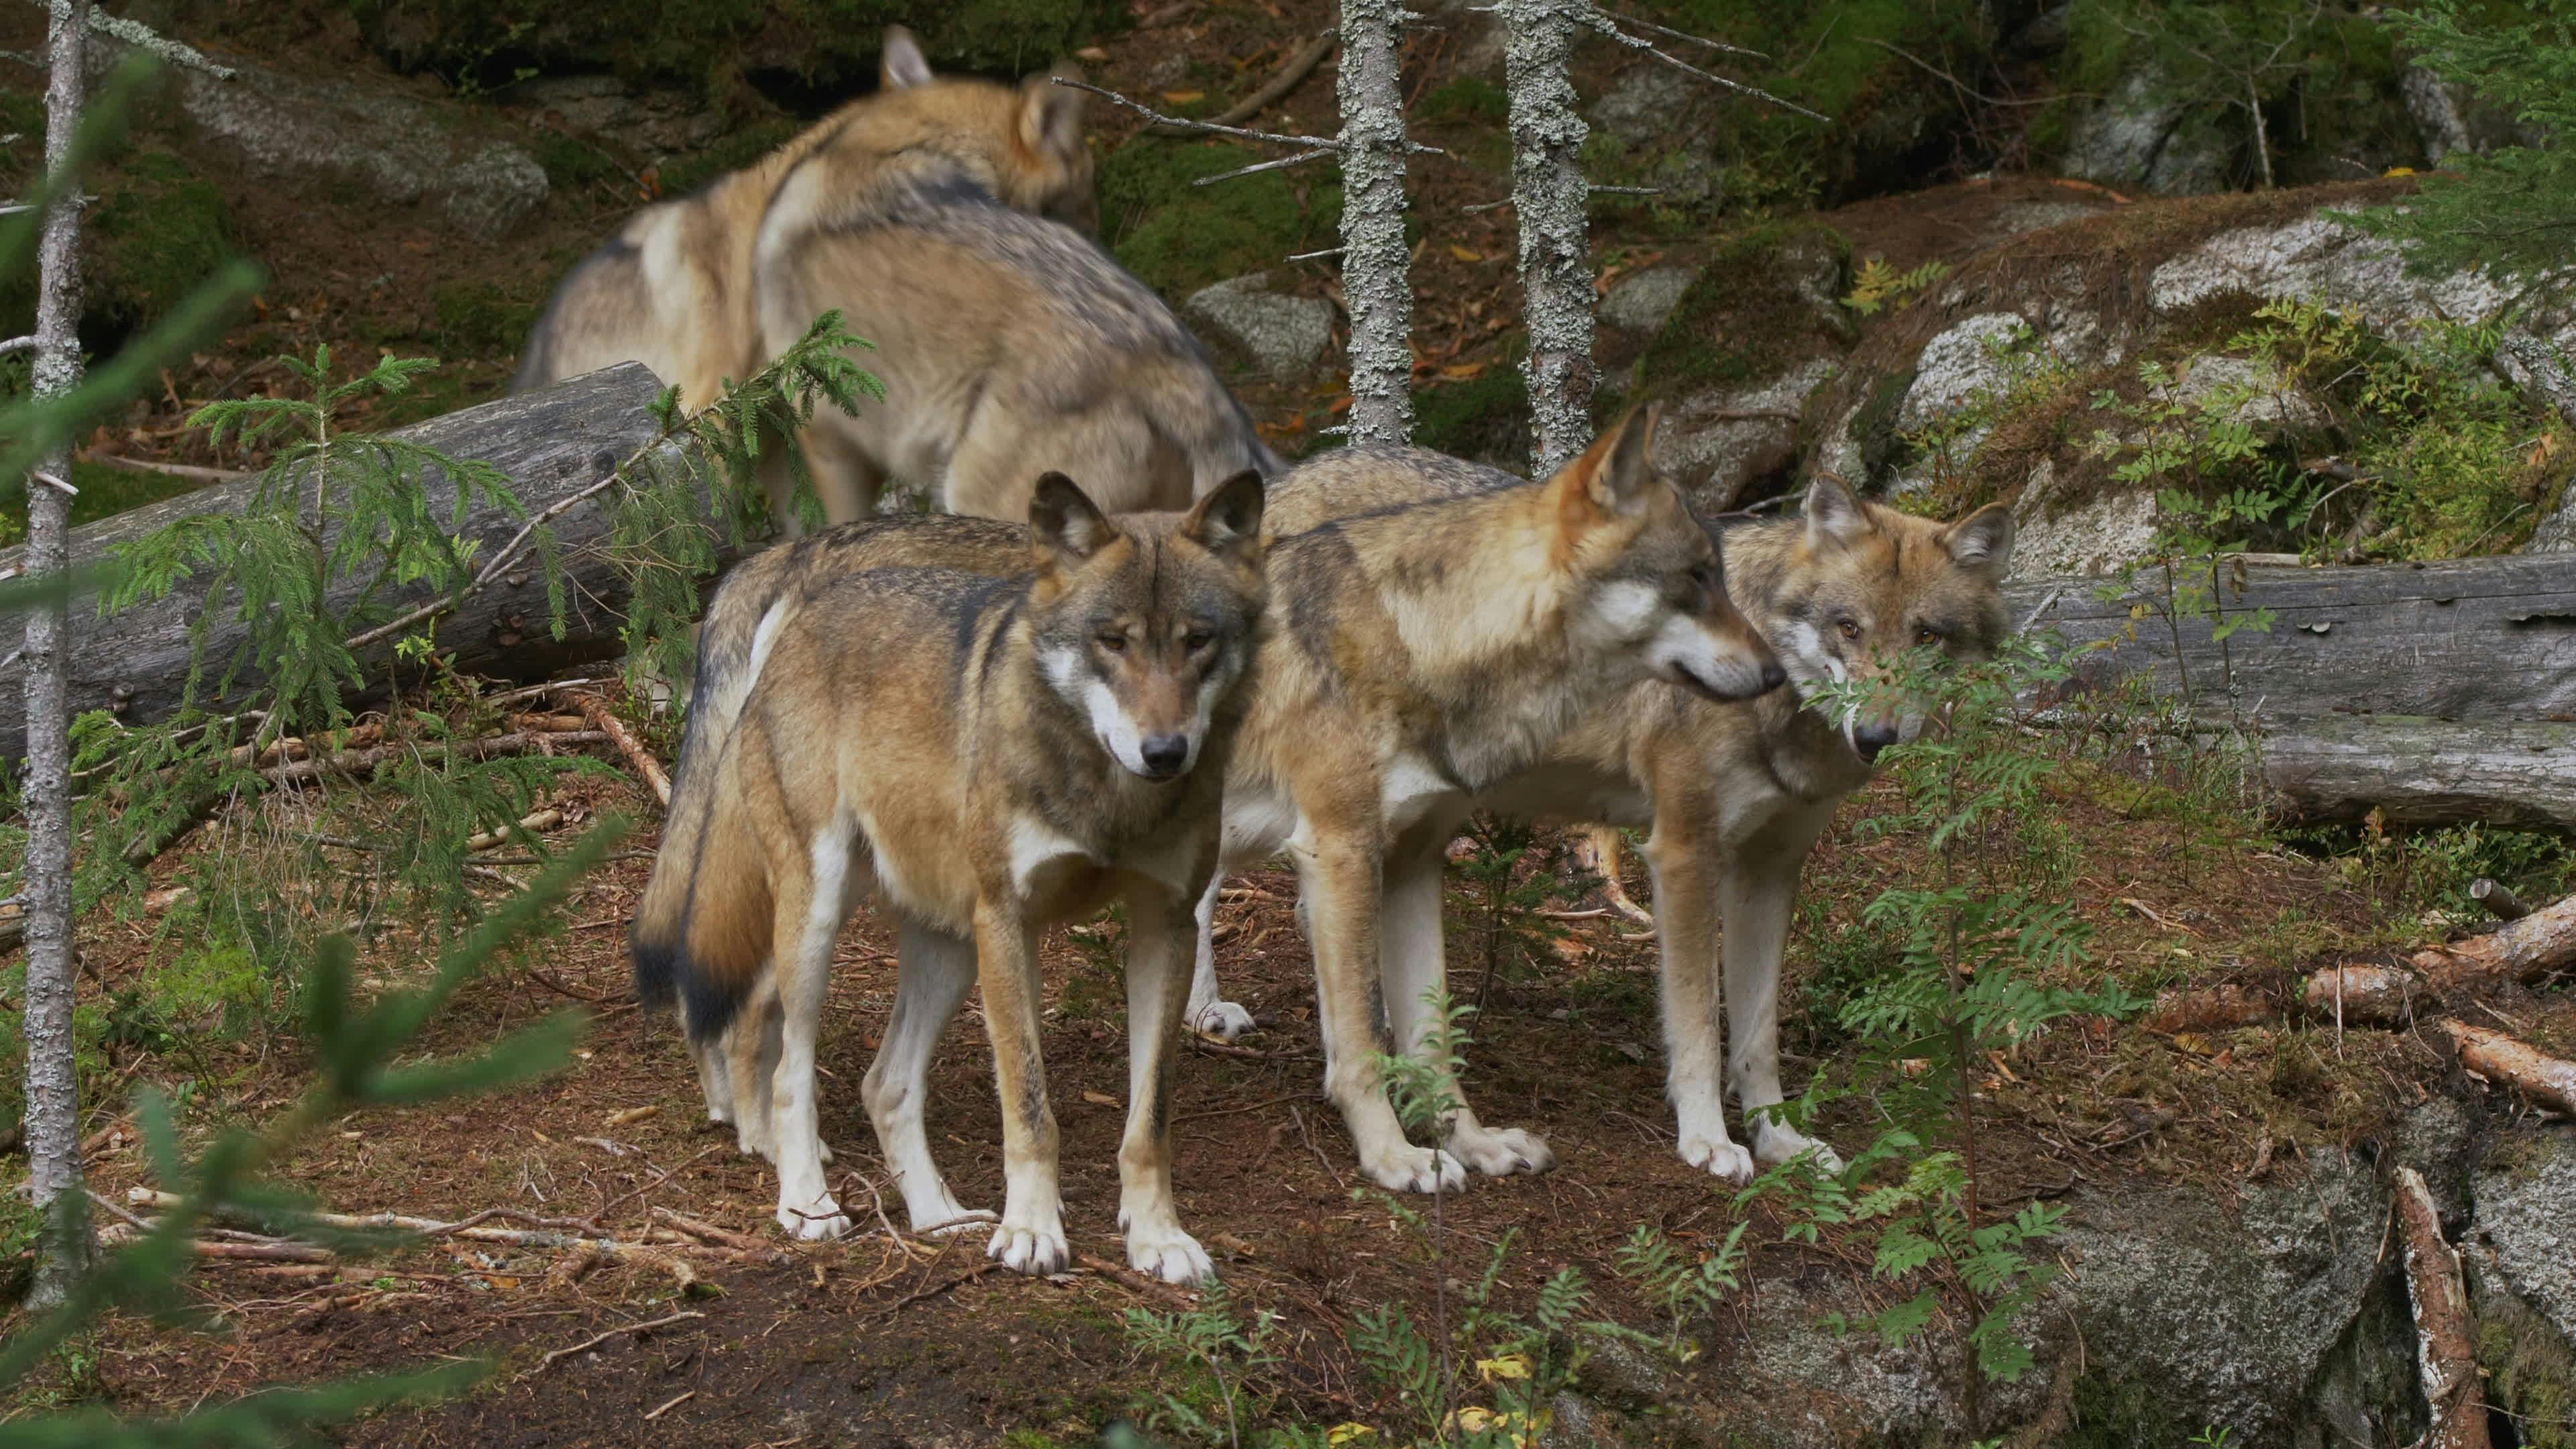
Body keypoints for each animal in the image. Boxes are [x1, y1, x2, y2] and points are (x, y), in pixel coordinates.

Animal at [629, 472, 1268, 1285]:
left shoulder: (1167, 925)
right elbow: (1029, 1108)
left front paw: (1158, 1239)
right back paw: (807, 1203)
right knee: (785, 1066)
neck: (1106, 794)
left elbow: (1148, 1121)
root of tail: (798, 574)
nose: (1165, 751)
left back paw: (938, 1217)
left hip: (949, 947)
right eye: (1113, 641)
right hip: (824, 918)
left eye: (1198, 640)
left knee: (883, 1083)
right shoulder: (1008, 921)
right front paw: (1032, 1233)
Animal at [1189, 473, 2015, 1184]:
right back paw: (1207, 1013)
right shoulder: (1684, 852)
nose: (1877, 736)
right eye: (1848, 627)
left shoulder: (1772, 870)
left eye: (1928, 637)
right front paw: (1708, 1141)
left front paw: (1780, 1140)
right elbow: (1697, 1025)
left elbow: (1757, 1036)